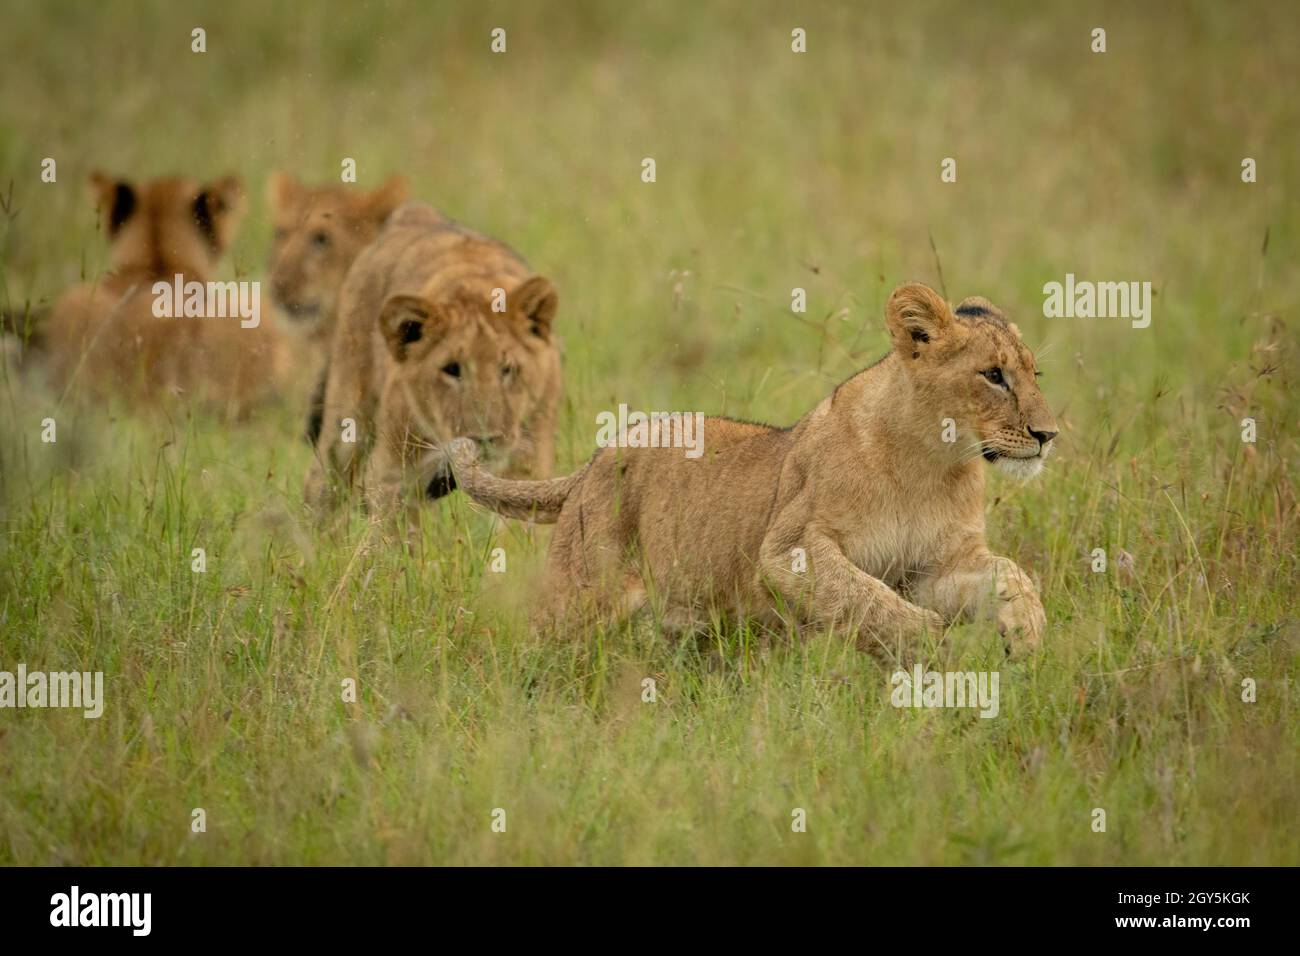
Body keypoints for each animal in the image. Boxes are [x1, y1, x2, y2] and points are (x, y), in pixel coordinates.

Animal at [307, 202, 562, 515]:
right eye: (451, 370)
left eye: (507, 369)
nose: (484, 438)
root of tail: (416, 211)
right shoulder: (394, 474)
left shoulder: (527, 461)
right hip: (349, 412)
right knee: (323, 482)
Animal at [447, 282, 1058, 657]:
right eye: (993, 375)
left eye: (1035, 374)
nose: (1048, 435)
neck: (931, 463)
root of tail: (597, 457)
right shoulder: (792, 548)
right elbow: (867, 599)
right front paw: (935, 646)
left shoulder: (933, 565)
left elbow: (1009, 573)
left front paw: (1027, 634)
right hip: (577, 597)